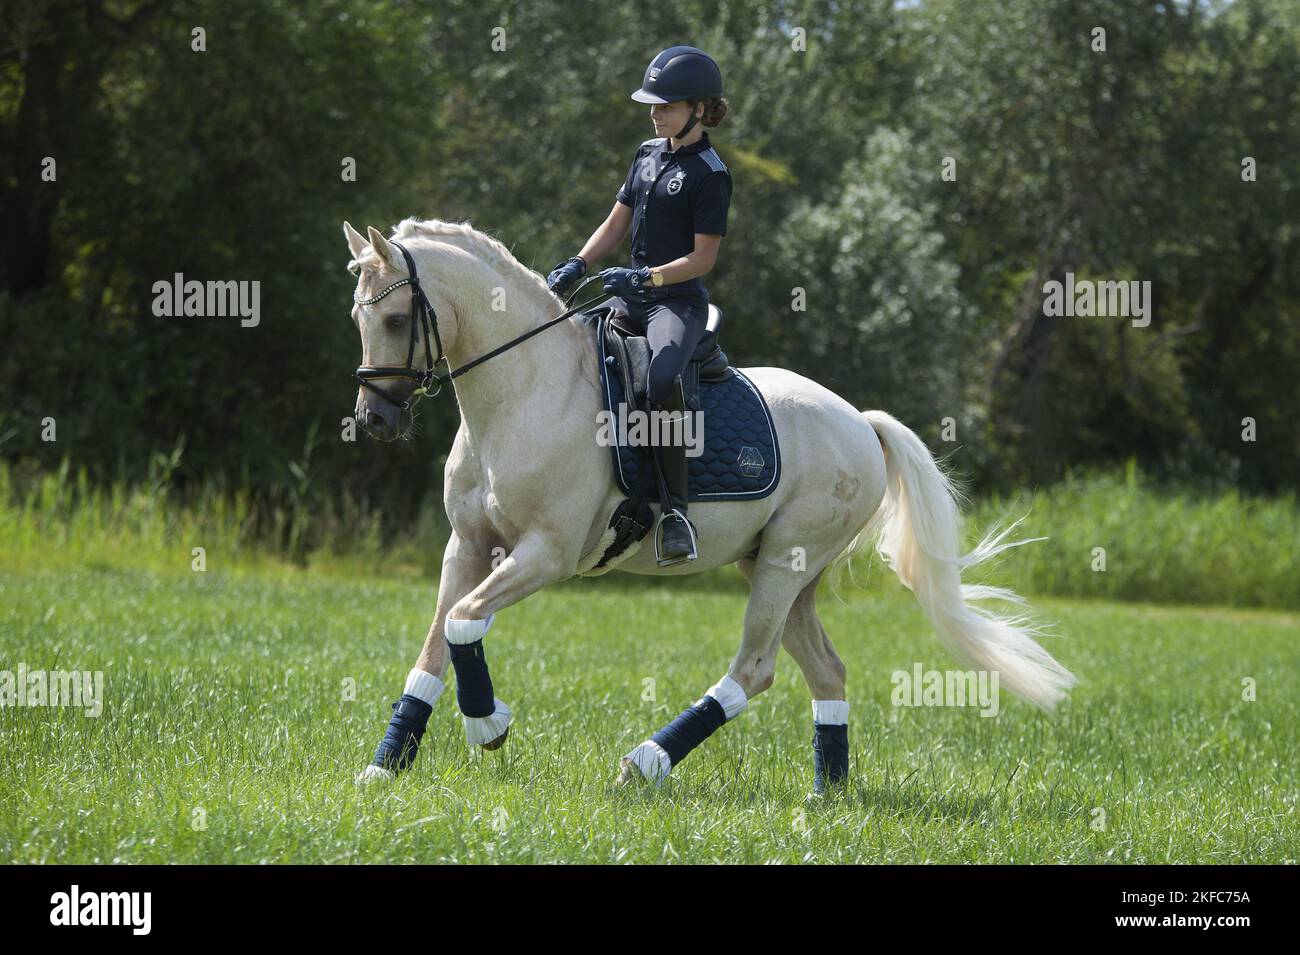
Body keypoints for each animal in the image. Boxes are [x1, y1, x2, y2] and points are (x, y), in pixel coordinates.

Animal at [344, 217, 1076, 792]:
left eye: (397, 319)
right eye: (359, 317)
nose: (375, 420)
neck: (525, 390)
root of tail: (862, 424)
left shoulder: (547, 553)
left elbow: (465, 622)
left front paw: (487, 725)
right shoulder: (468, 546)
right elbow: (438, 641)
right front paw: (386, 764)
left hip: (784, 564)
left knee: (754, 671)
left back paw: (643, 762)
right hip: (781, 570)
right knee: (827, 671)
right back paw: (828, 794)